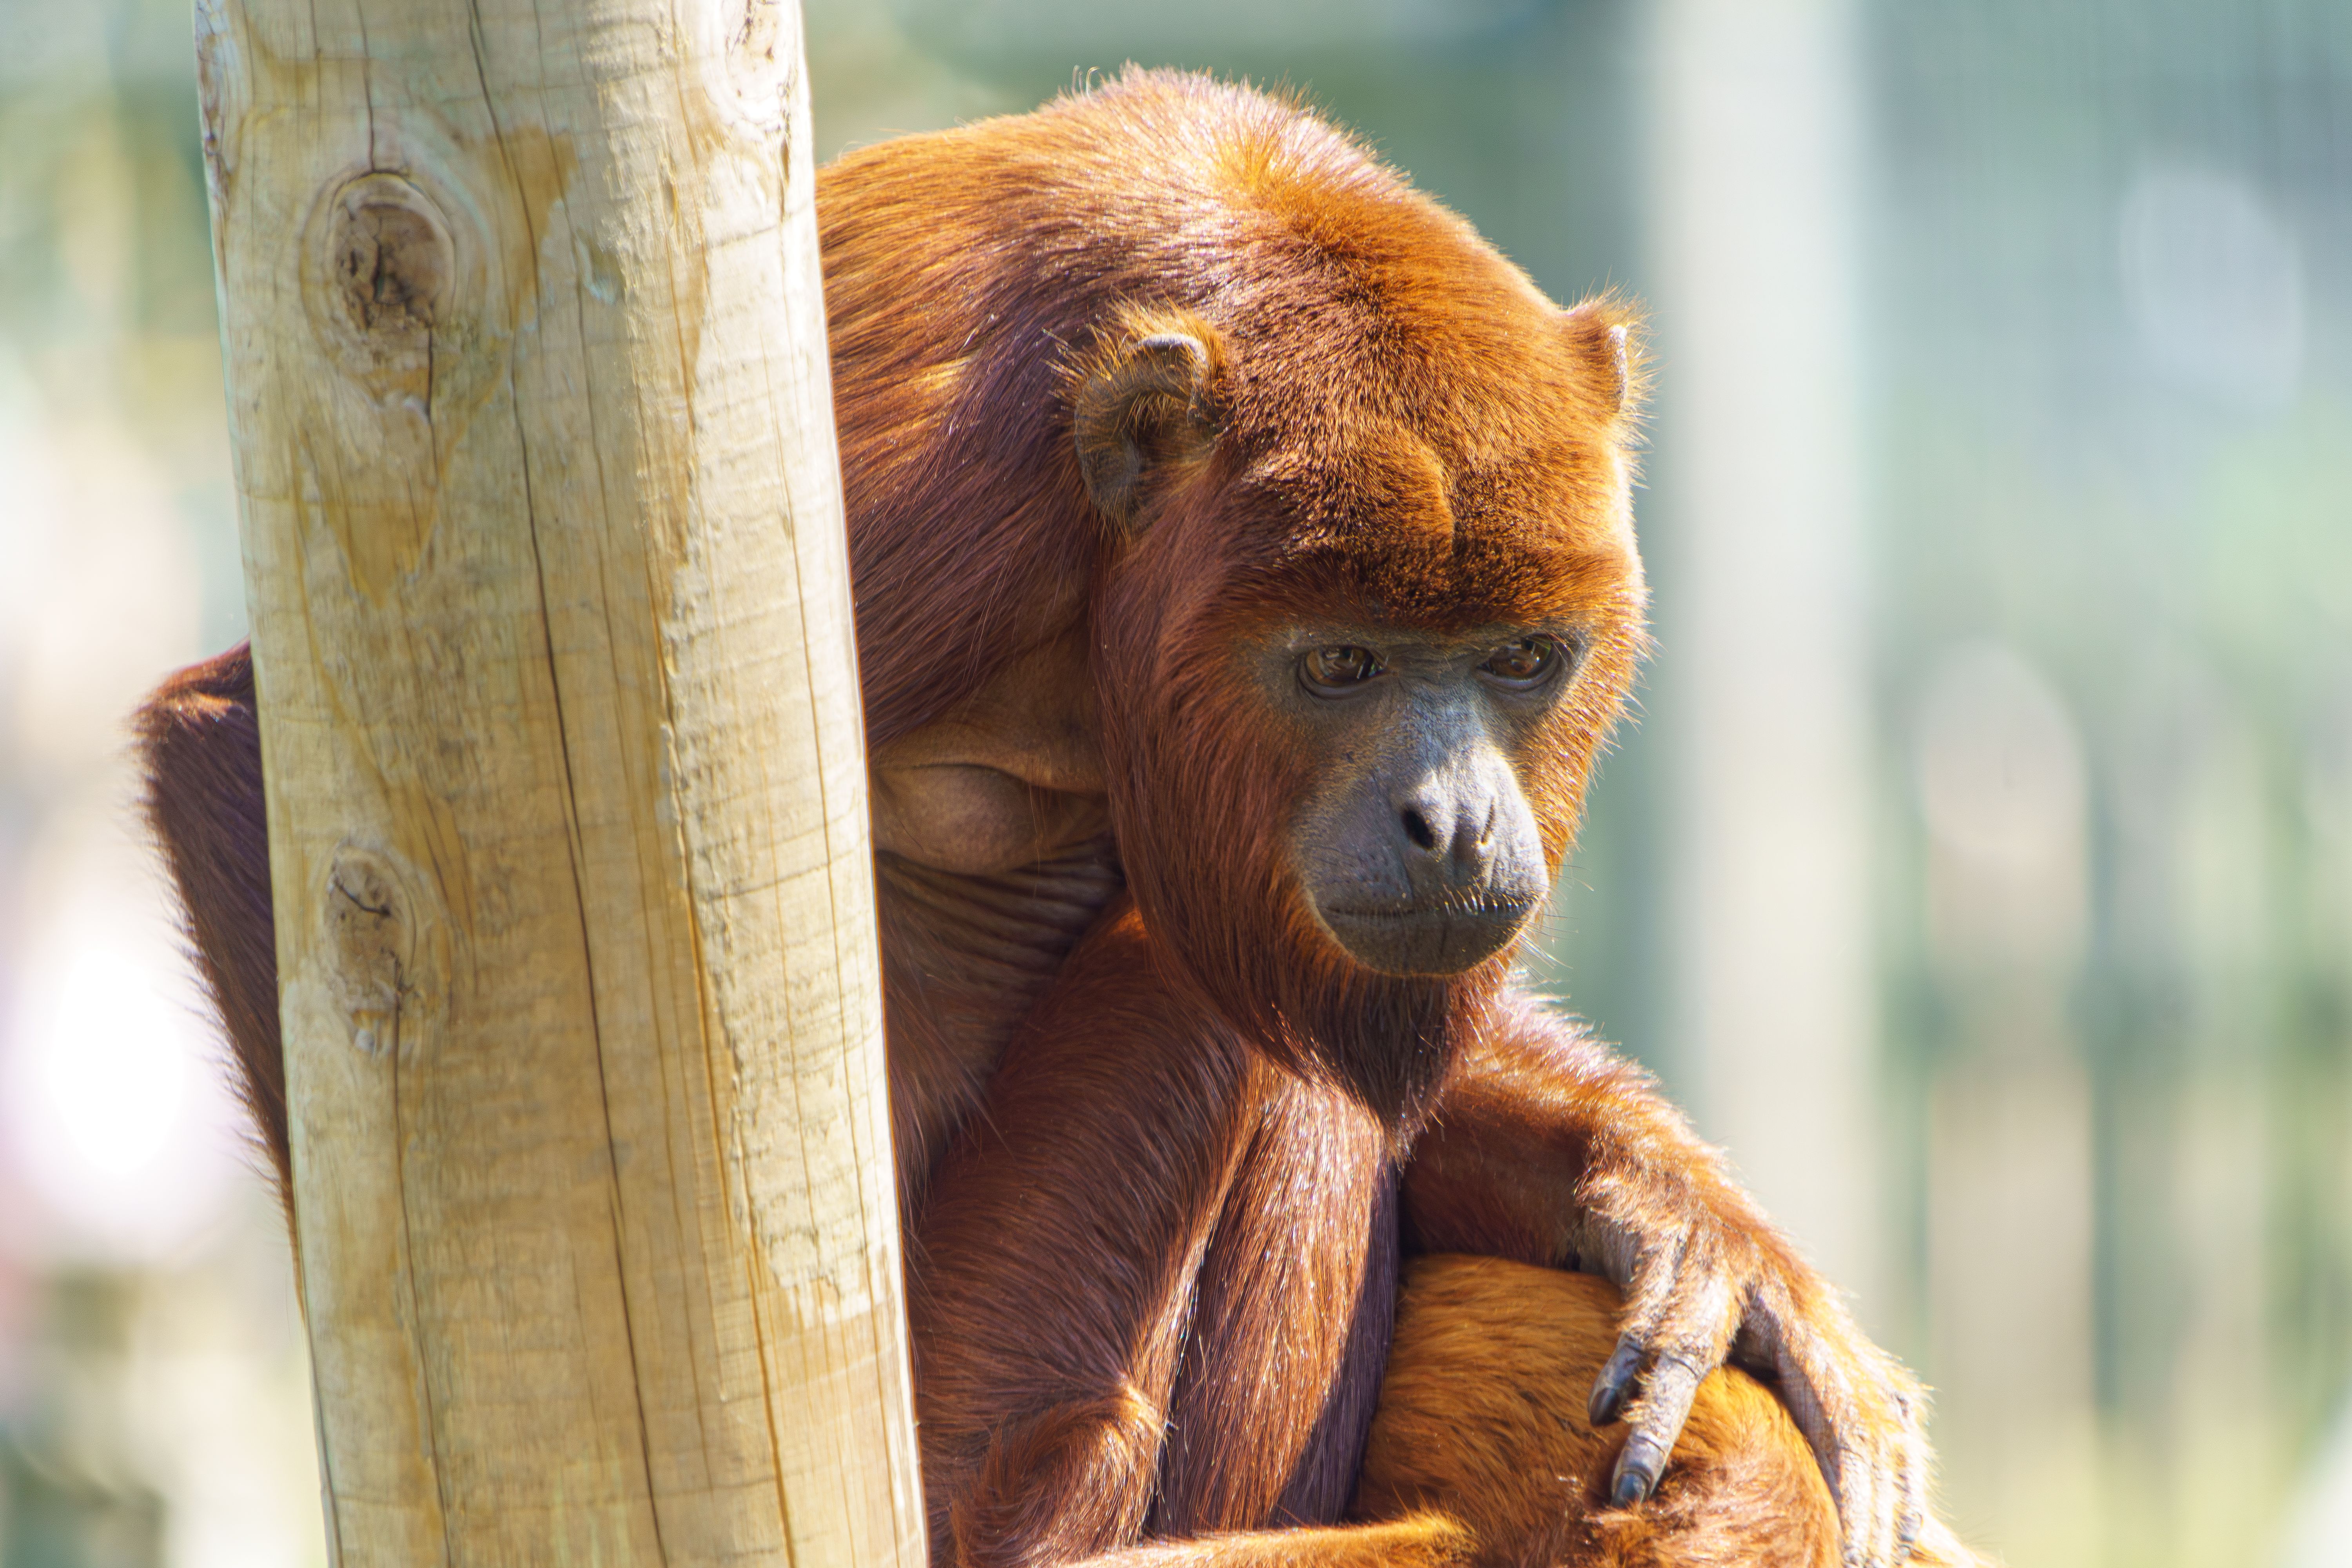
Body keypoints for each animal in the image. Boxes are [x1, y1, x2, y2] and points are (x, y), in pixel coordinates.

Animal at [136, 69, 1977, 1568]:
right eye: (1337, 662)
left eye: (1523, 658)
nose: (1453, 820)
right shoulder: (913, 499)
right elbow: (243, 741)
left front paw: (1685, 1220)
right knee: (1223, 1003)